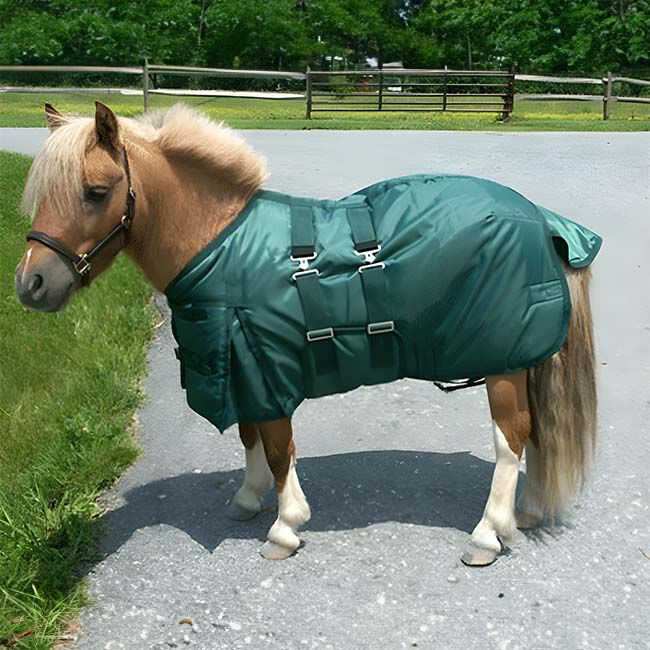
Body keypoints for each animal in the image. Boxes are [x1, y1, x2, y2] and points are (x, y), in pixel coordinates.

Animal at [15, 102, 598, 566]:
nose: (30, 283)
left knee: (511, 438)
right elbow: (250, 437)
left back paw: (487, 535)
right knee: (534, 435)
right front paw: (248, 499)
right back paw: (523, 515)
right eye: (41, 194)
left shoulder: (267, 366)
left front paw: (285, 526)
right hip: (520, 362)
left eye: (95, 191)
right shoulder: (244, 367)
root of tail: (540, 217)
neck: (221, 245)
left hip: (503, 363)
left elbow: (278, 450)